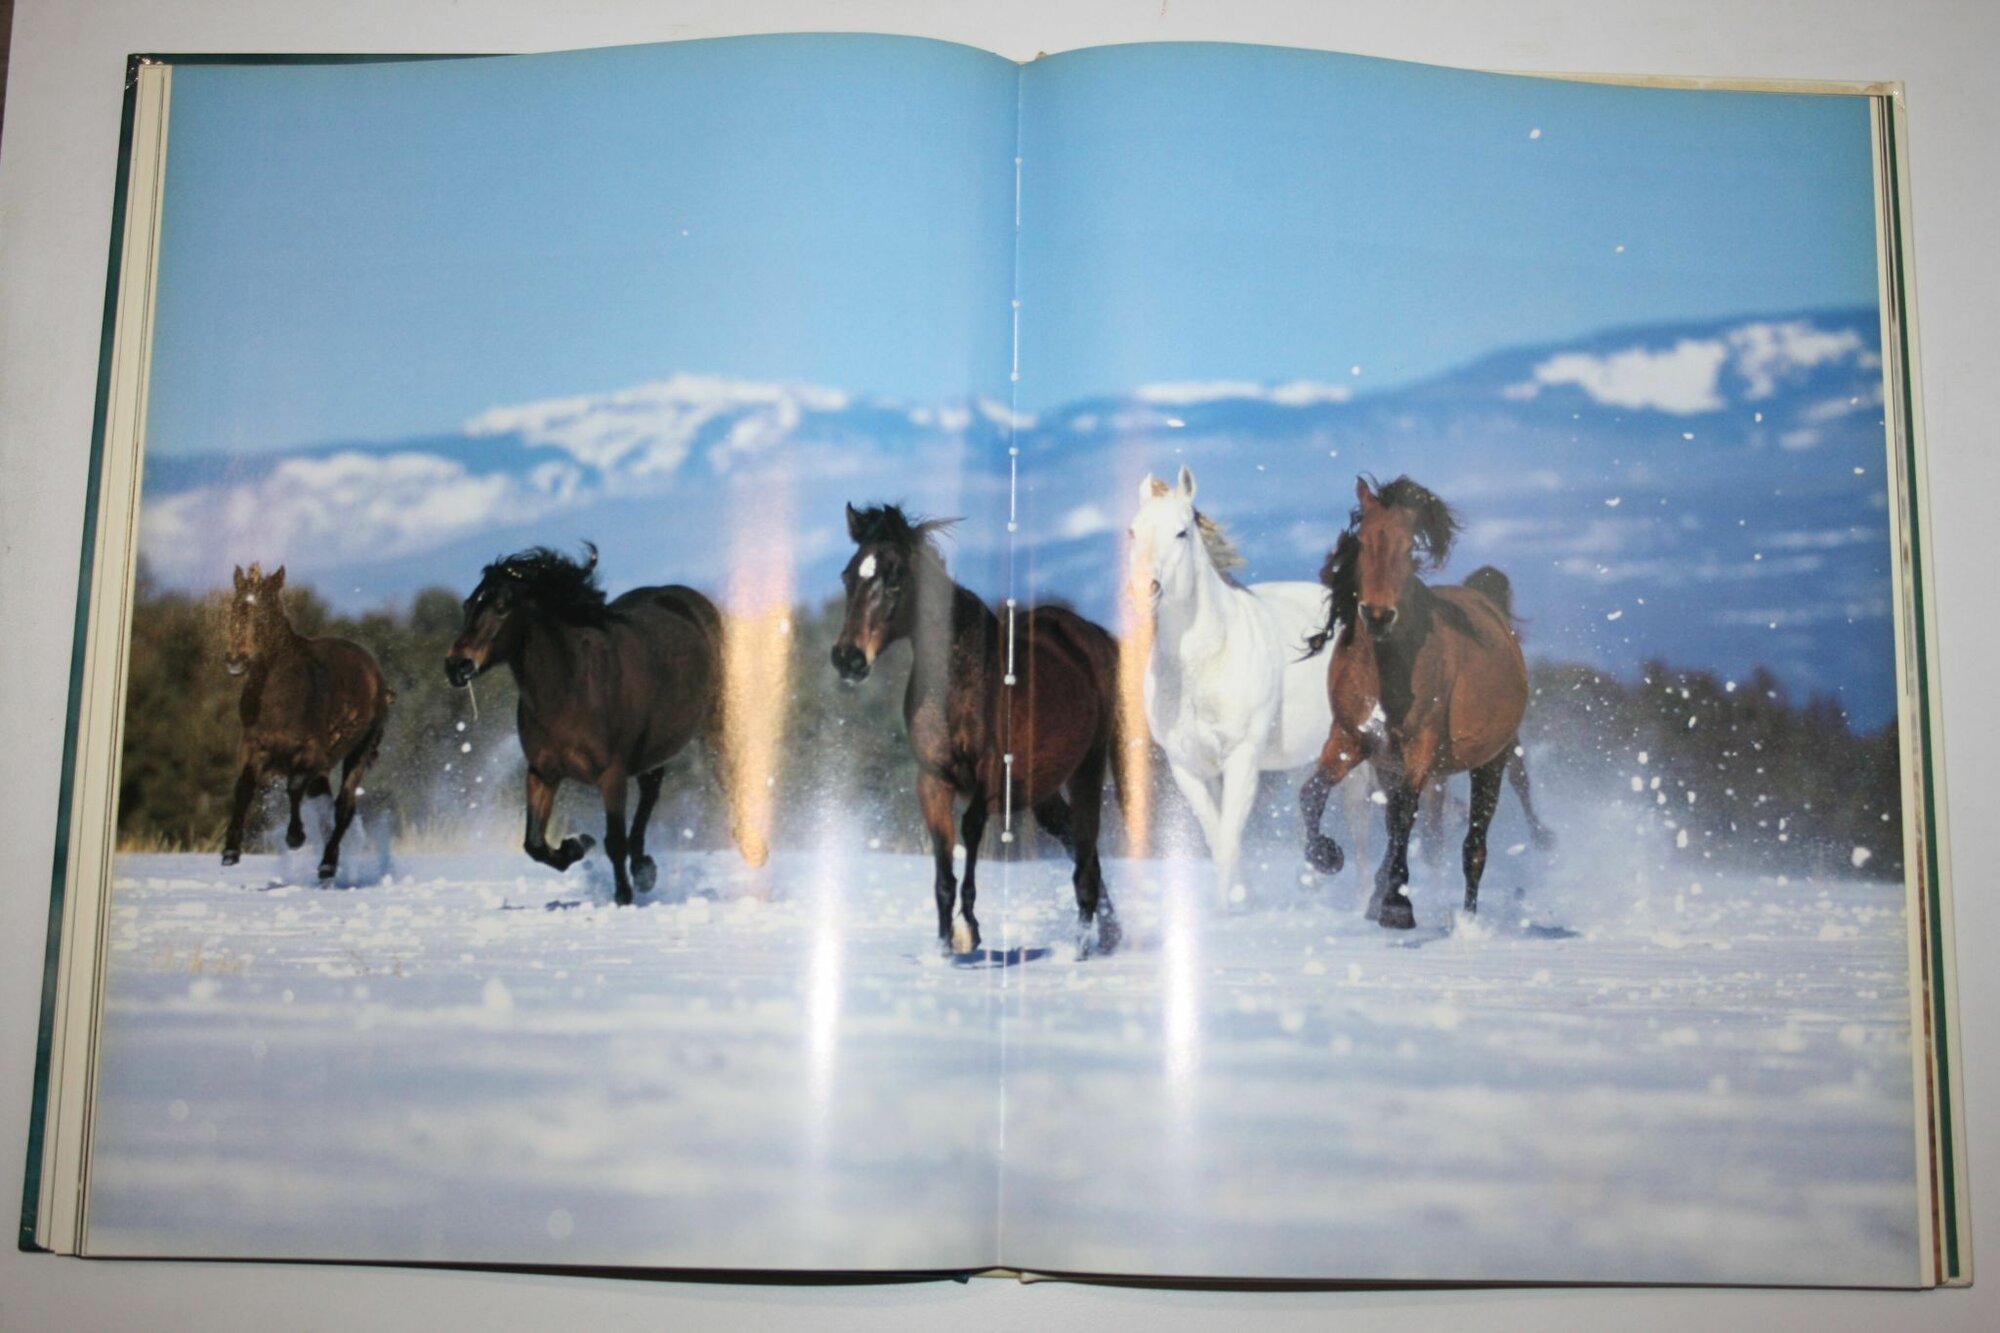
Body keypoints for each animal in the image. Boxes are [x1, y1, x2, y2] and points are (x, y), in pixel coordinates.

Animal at [220, 563, 391, 880]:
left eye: (264, 613)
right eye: (236, 607)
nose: (235, 659)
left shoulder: (311, 749)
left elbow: (294, 786)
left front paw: (295, 837)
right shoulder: (253, 745)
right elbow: (244, 786)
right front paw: (230, 851)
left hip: (358, 750)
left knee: (343, 806)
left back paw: (327, 866)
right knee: (325, 806)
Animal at [444, 544, 761, 906]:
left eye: (501, 607)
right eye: (468, 604)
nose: (457, 665)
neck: (571, 688)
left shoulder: (611, 774)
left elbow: (614, 841)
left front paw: (622, 897)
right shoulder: (542, 773)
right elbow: (534, 843)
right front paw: (576, 845)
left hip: (712, 728)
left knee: (723, 773)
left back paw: (750, 849)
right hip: (653, 750)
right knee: (650, 793)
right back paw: (644, 869)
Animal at [831, 503, 1127, 958]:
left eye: (895, 578)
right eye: (848, 576)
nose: (848, 659)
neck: (960, 682)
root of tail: (1095, 636)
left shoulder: (989, 777)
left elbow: (970, 833)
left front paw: (968, 928)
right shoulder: (932, 779)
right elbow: (942, 867)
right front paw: (944, 946)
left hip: (1088, 768)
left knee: (1084, 850)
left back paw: (1083, 946)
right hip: (1042, 788)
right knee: (1076, 843)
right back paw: (1109, 934)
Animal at [1127, 465, 1375, 907]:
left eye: (1181, 533)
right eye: (1132, 532)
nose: (1144, 588)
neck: (1203, 667)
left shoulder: (1241, 757)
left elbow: (1228, 839)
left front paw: (1226, 910)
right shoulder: (1188, 767)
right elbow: (1216, 837)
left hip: (1354, 753)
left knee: (1359, 826)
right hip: (1305, 757)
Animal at [1298, 477, 1549, 928]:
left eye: (1408, 547)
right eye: (1363, 541)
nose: (1378, 615)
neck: (1385, 670)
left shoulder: (1421, 744)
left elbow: (1404, 817)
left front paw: (1397, 908)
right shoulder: (1350, 738)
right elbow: (1312, 793)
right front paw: (1327, 856)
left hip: (1492, 759)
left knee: (1474, 844)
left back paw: (1467, 918)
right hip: (1390, 763)